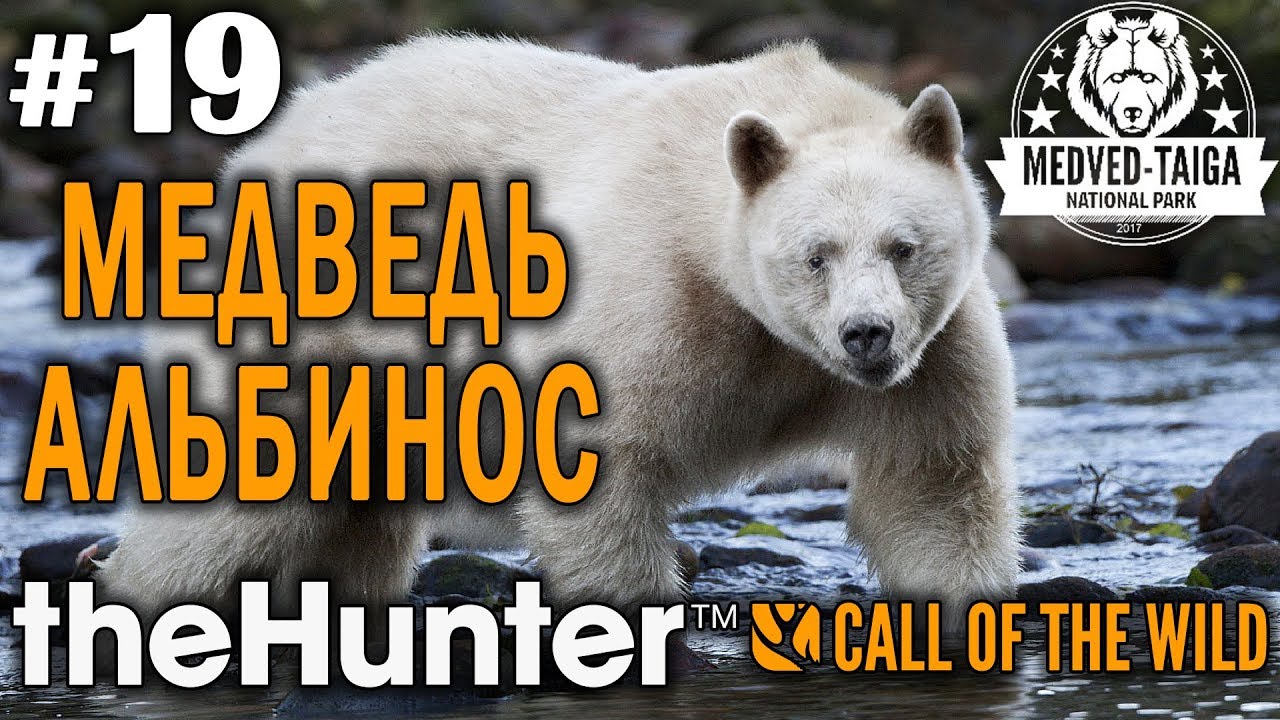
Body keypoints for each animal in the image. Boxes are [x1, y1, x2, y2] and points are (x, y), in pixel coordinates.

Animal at [97, 35, 1020, 631]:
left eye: (904, 246)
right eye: (815, 255)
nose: (868, 335)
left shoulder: (934, 357)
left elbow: (931, 488)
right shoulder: (654, 302)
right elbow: (600, 464)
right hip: (302, 311)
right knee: (235, 489)